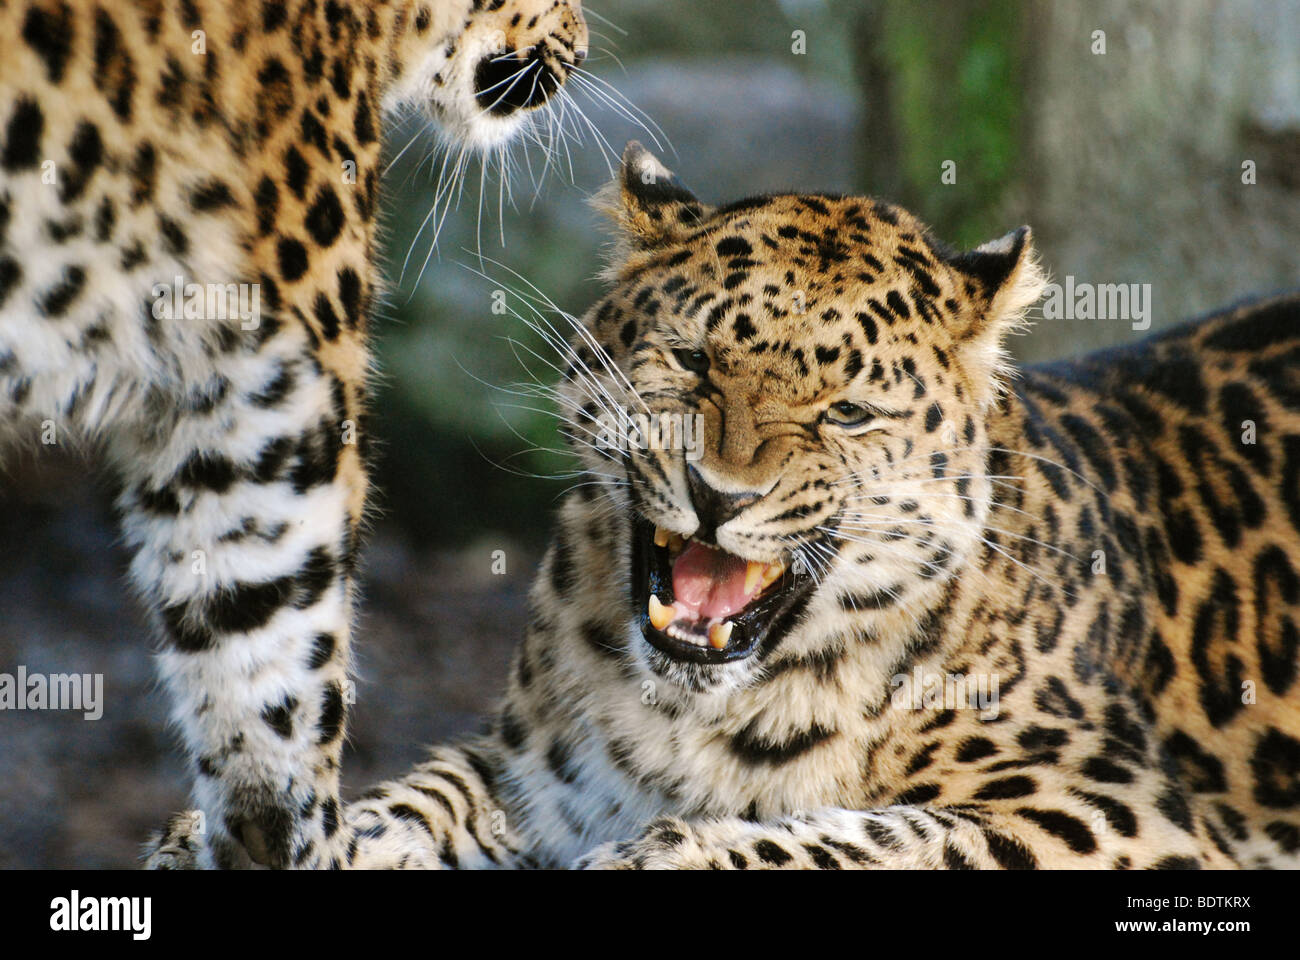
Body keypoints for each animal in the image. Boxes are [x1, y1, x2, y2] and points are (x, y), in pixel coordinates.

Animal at [148, 141, 1300, 869]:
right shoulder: (533, 770)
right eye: (694, 360)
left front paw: (665, 858)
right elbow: (423, 794)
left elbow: (885, 835)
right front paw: (244, 839)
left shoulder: (1120, 811)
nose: (717, 496)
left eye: (846, 412)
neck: (694, 719)